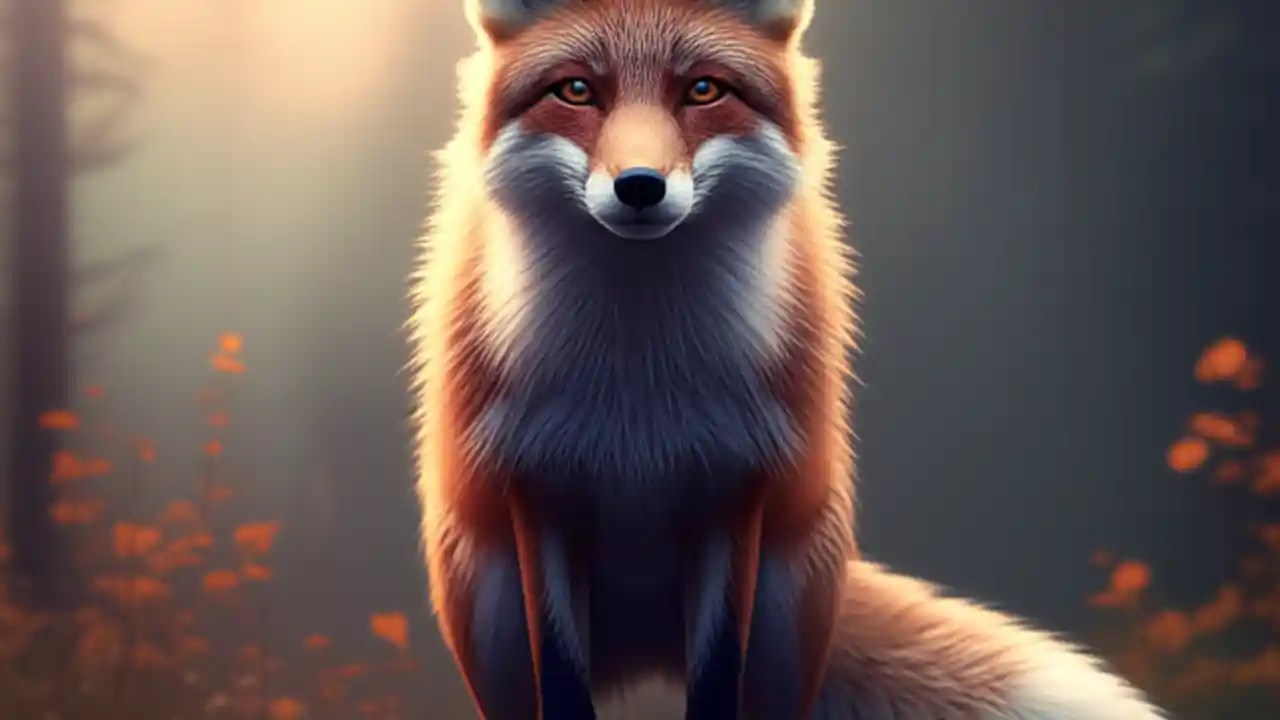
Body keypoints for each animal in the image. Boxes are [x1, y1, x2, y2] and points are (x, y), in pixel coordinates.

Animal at [410, 1, 1167, 718]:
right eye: (575, 90)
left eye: (703, 89)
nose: (641, 186)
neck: (639, 384)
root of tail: (648, 657)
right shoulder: (537, 492)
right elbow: (562, 684)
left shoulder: (734, 489)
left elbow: (720, 679)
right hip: (489, 616)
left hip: (786, 615)